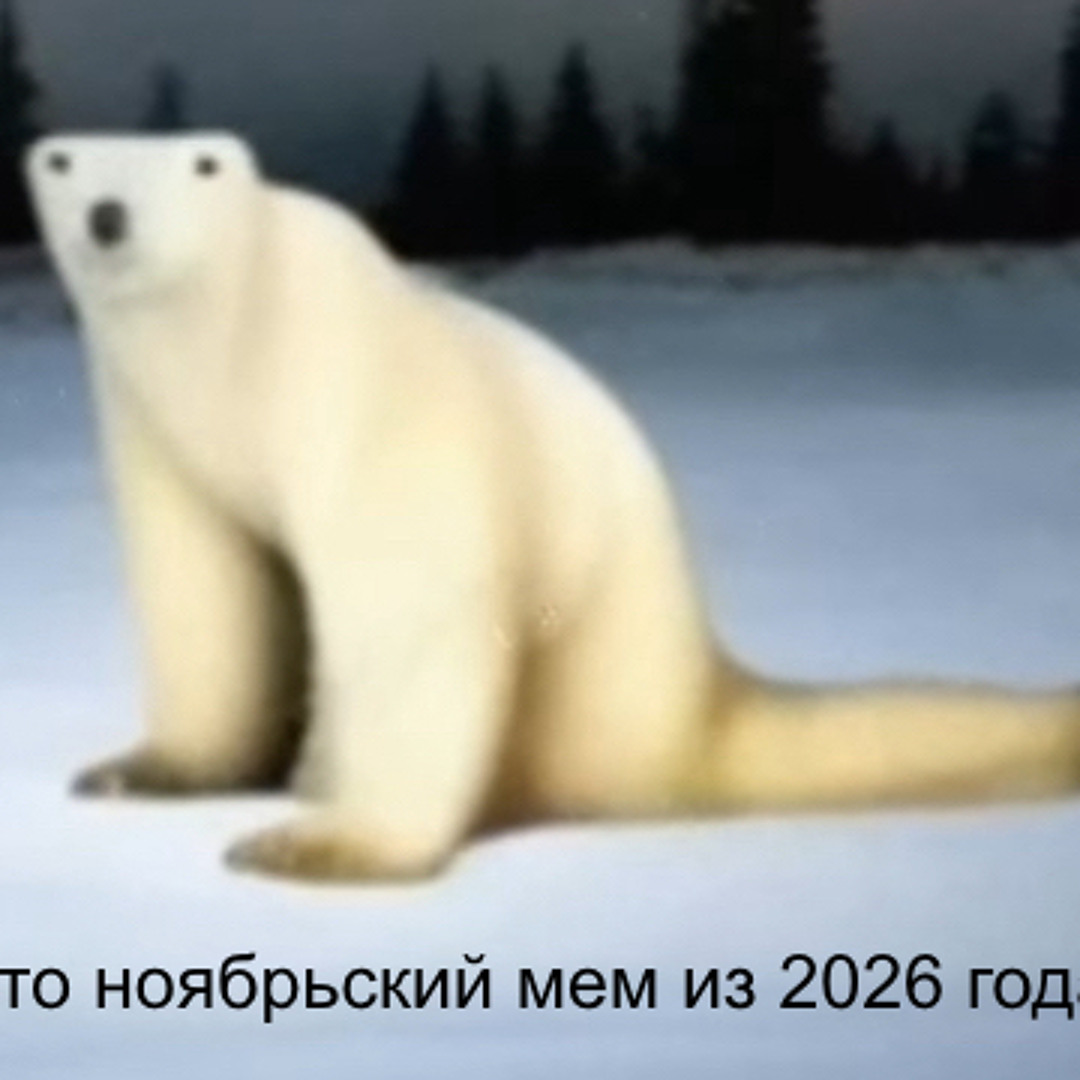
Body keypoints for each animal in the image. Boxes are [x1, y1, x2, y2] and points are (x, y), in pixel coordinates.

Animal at [23, 132, 1080, 882]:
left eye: (198, 164)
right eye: (62, 158)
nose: (108, 215)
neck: (234, 356)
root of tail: (694, 694)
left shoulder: (364, 392)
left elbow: (414, 599)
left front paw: (319, 842)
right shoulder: (162, 436)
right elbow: (212, 583)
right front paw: (141, 768)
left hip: (586, 682)